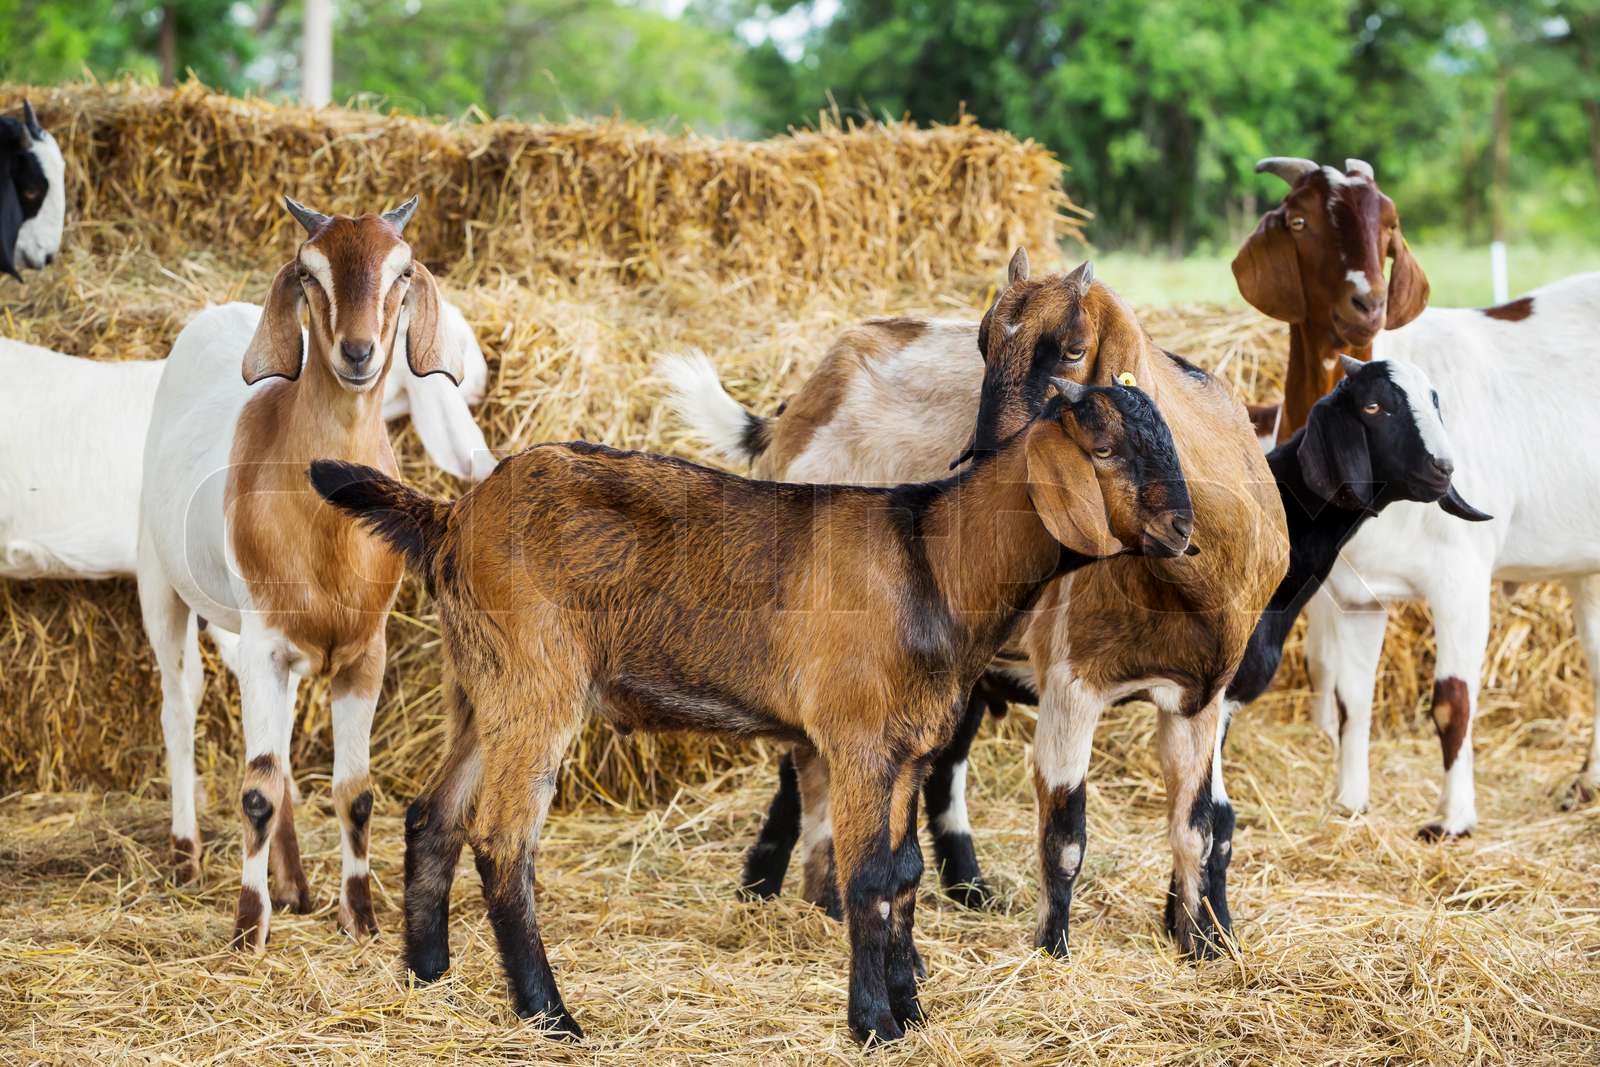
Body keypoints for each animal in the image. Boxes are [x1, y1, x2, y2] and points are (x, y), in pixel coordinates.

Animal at [136, 196, 459, 951]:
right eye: (309, 273)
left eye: (402, 272)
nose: (358, 352)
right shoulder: (266, 645)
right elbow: (257, 788)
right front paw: (247, 929)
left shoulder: (364, 652)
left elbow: (354, 791)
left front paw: (360, 917)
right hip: (161, 584)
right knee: (180, 702)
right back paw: (187, 856)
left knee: (276, 746)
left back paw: (294, 885)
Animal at [310, 371, 1194, 1043]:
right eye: (1104, 447)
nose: (1183, 530)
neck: (934, 559)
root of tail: (453, 516)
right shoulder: (859, 737)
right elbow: (867, 874)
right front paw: (875, 1022)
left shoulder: (907, 748)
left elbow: (904, 873)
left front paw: (911, 1009)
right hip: (537, 685)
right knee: (501, 839)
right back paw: (550, 1013)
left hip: (480, 688)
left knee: (434, 815)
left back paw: (428, 975)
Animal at [666, 252, 1288, 959]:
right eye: (984, 342)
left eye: (1073, 348)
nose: (987, 462)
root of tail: (795, 407)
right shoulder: (1071, 683)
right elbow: (1065, 837)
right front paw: (1053, 952)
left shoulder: (1200, 696)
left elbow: (1198, 829)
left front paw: (1204, 947)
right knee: (808, 761)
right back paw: (803, 898)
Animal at [1240, 155, 1600, 839]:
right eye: (1298, 221)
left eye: (1389, 228)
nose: (1367, 303)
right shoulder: (1355, 595)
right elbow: (1351, 702)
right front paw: (1349, 803)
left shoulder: (1461, 576)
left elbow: (1452, 700)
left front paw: (1453, 819)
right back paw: (1588, 783)